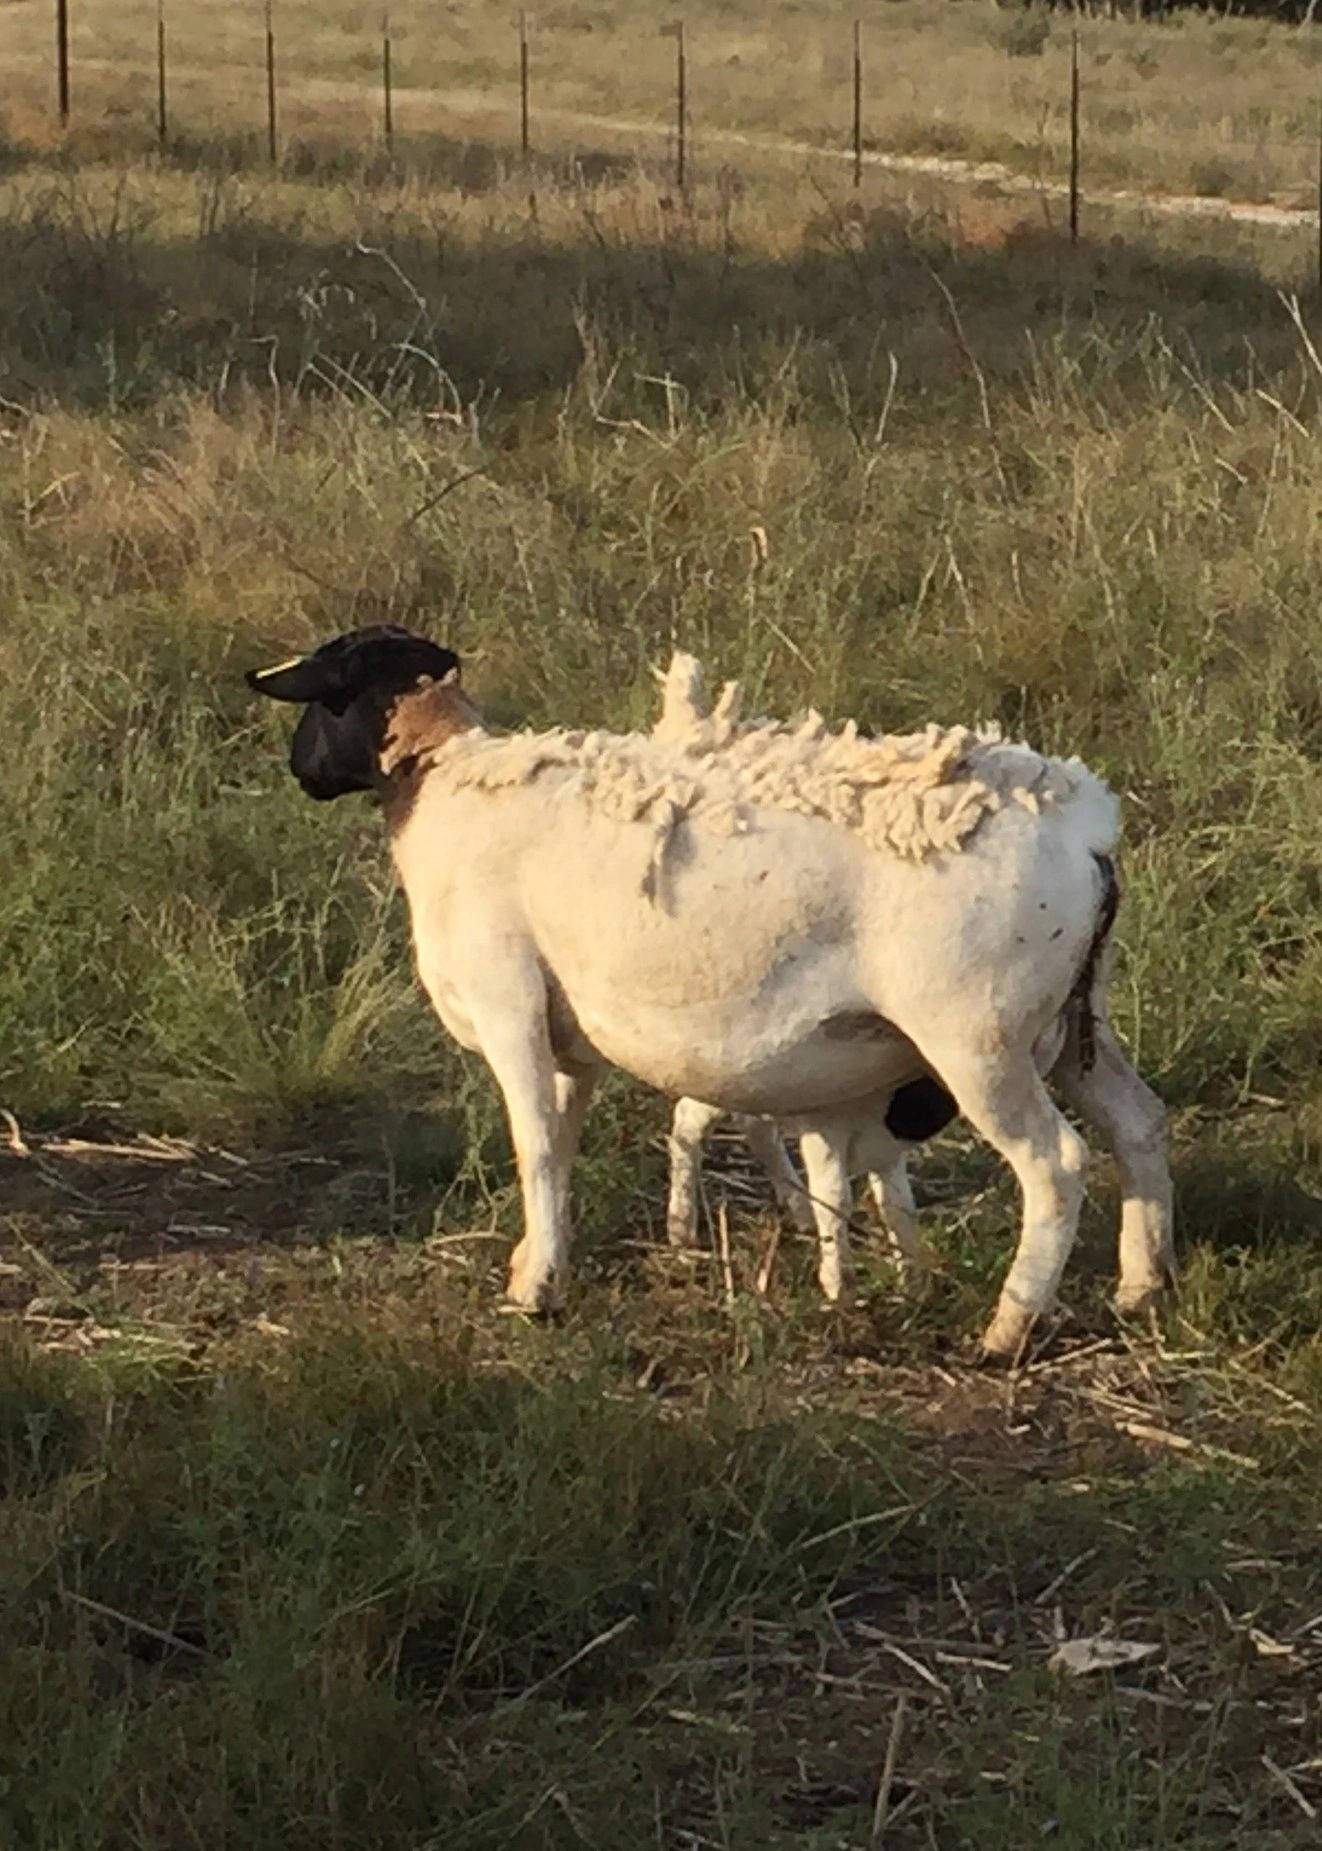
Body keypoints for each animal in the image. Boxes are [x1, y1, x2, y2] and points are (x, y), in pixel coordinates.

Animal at [246, 625, 1175, 1359]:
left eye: (322, 693)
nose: (299, 773)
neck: (442, 784)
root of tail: (1088, 834)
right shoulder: (568, 1037)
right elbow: (563, 1141)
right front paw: (541, 1260)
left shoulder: (508, 1003)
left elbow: (533, 1145)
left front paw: (533, 1290)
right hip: (1070, 1021)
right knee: (1139, 1122)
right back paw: (1141, 1286)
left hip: (977, 1036)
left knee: (1054, 1165)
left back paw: (1007, 1328)